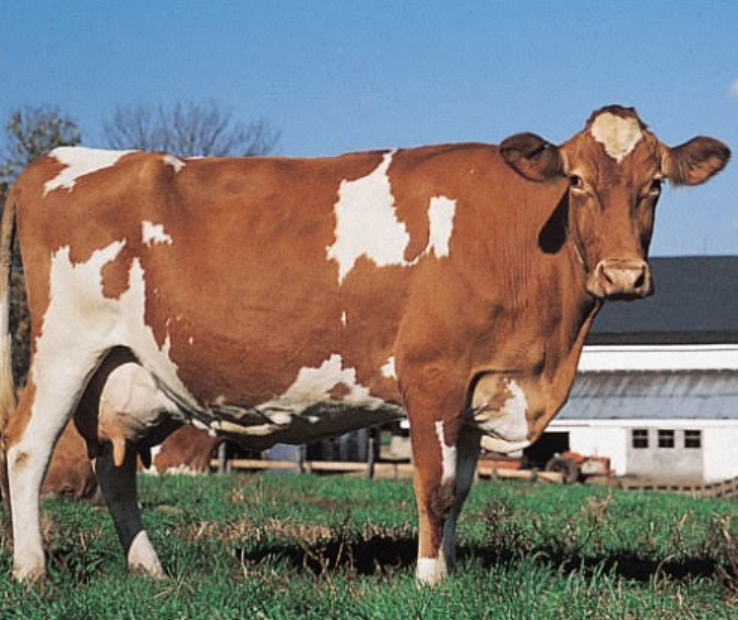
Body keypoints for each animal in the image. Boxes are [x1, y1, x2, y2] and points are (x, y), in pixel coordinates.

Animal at [0, 106, 729, 585]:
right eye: (575, 180)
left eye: (656, 184)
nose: (624, 275)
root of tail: (61, 159)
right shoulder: (432, 375)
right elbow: (435, 485)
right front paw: (430, 580)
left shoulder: (478, 384)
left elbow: (462, 489)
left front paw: (451, 568)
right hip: (65, 349)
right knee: (28, 448)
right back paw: (33, 570)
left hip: (118, 371)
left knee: (114, 466)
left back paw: (148, 568)